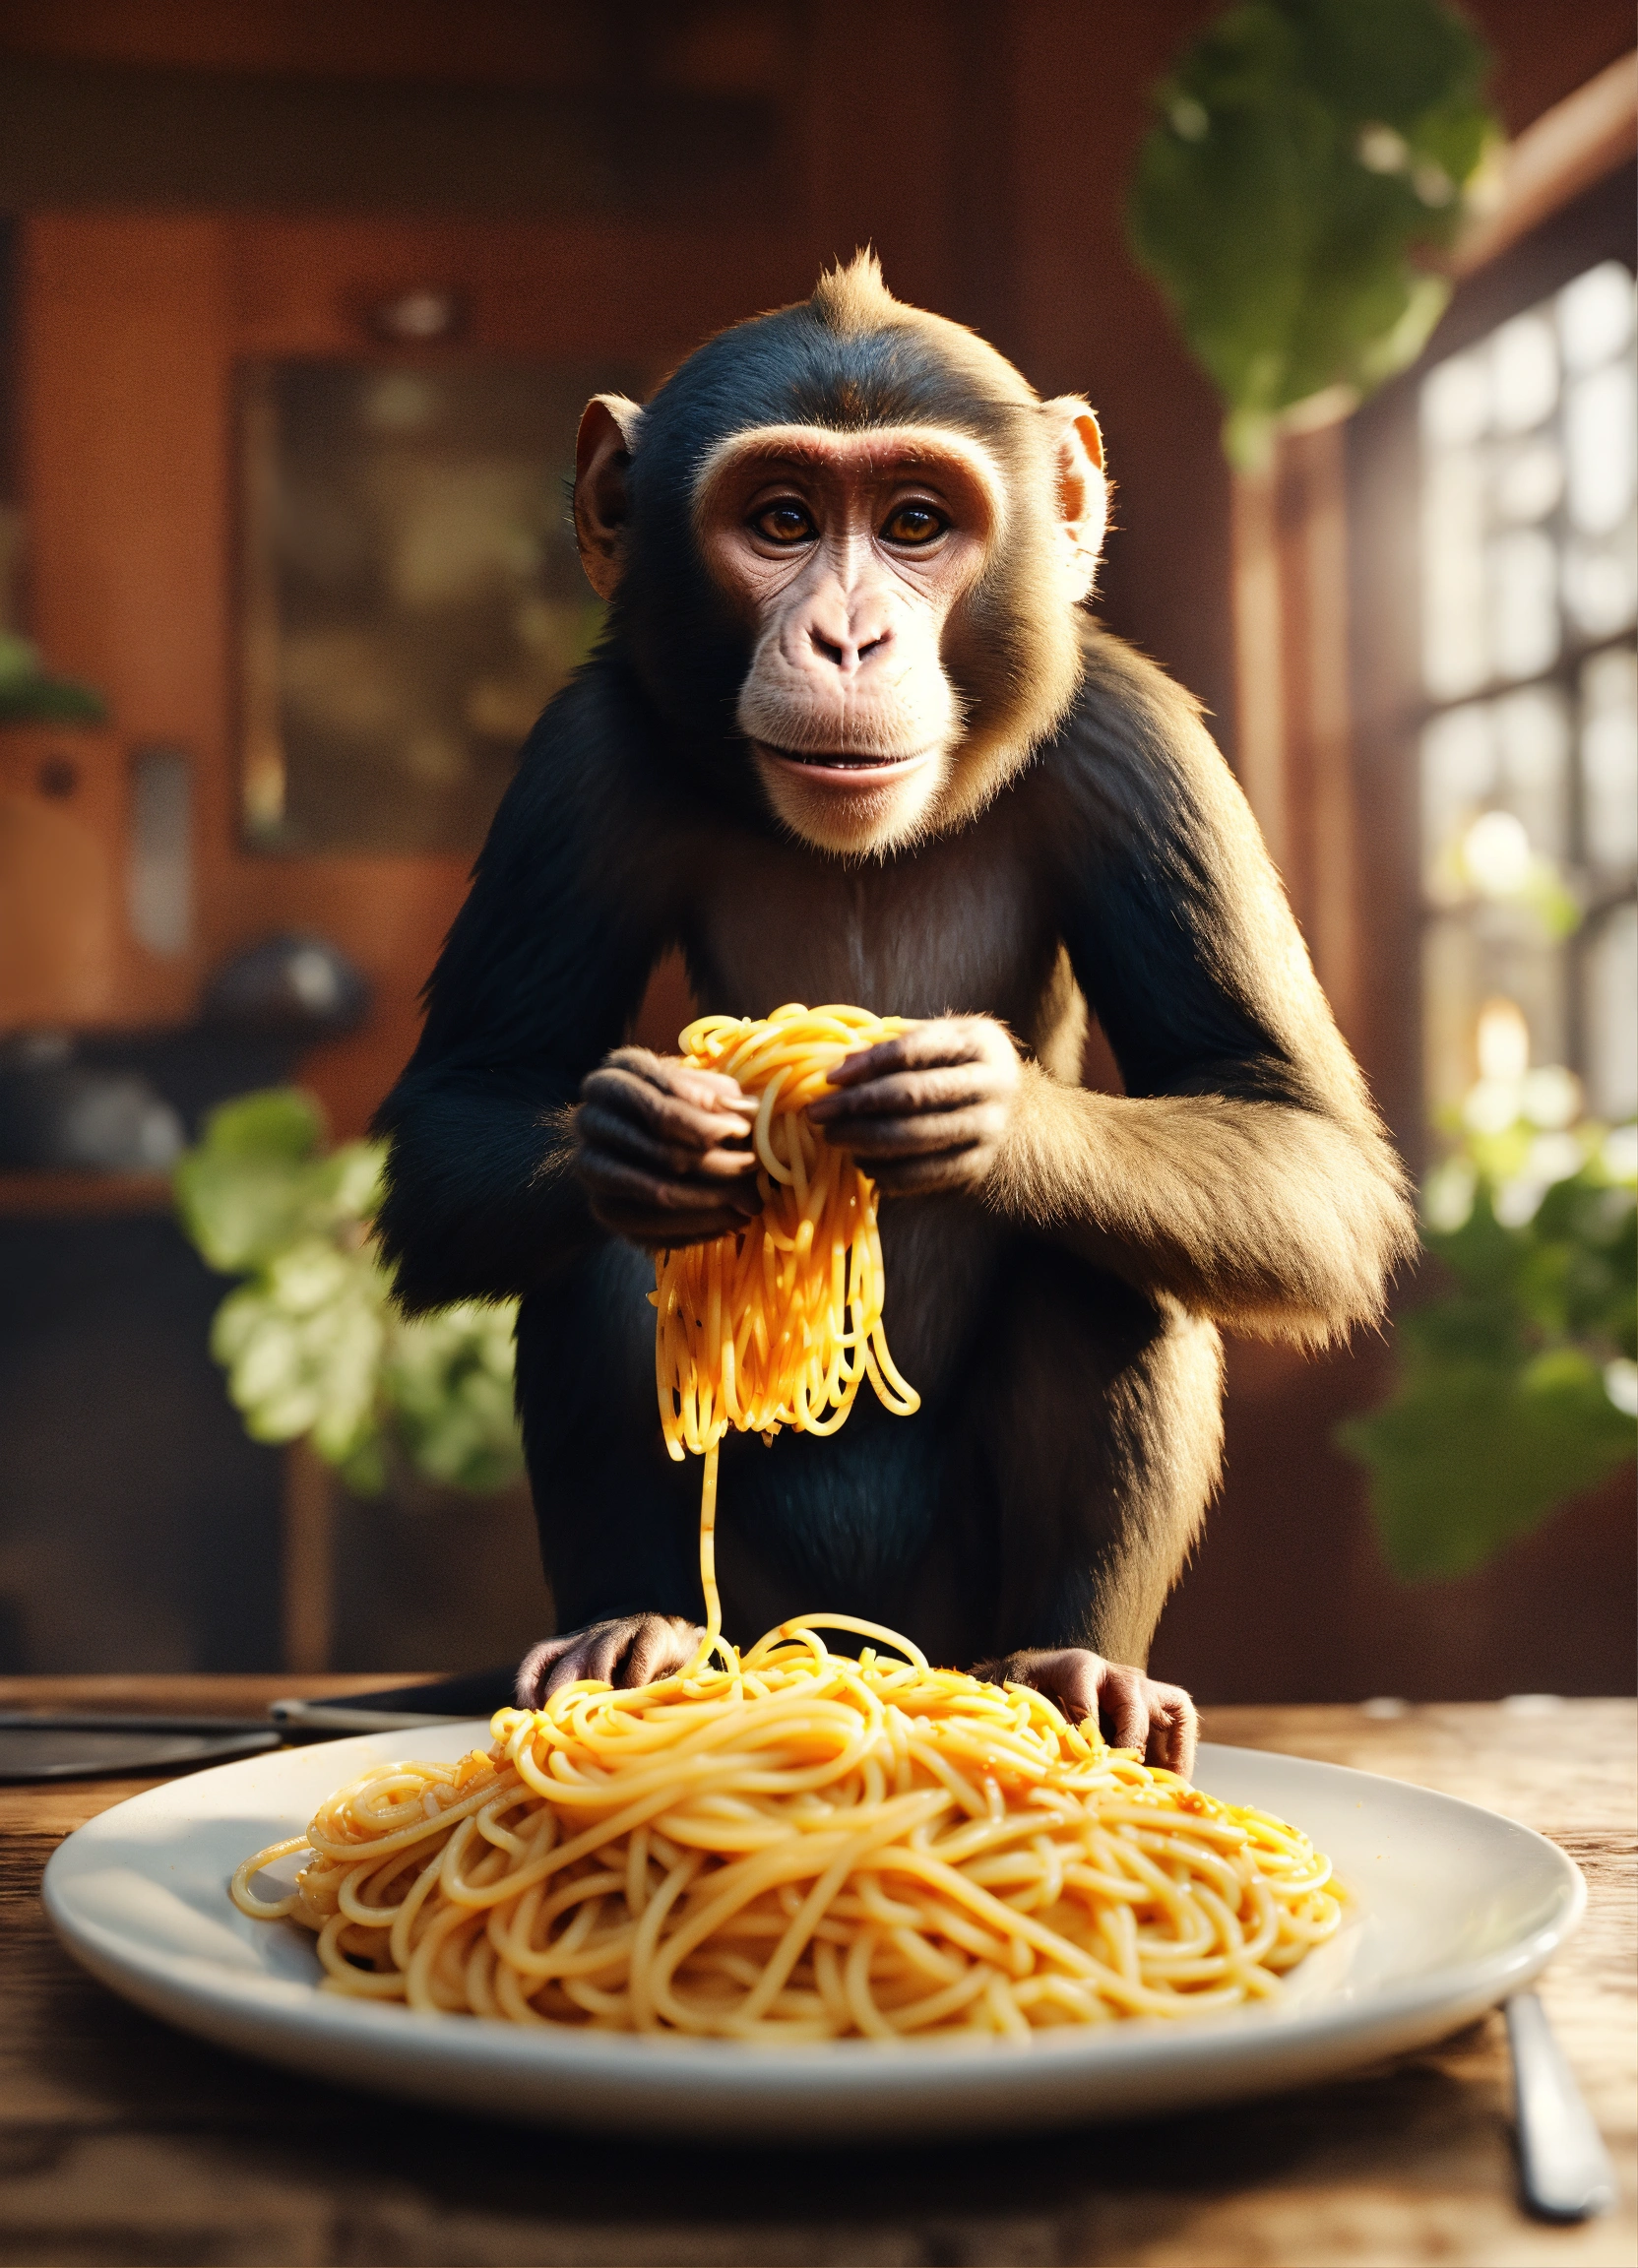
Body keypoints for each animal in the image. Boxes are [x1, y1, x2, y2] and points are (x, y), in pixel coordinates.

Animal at [374, 254, 1414, 1774]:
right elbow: (473, 1100)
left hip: (942, 1599)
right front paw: (640, 1128)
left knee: (1117, 1248)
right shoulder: (579, 760)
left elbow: (1290, 1124)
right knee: (598, 1249)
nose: (849, 633)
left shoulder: (1137, 744)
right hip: (766, 1593)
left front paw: (979, 1108)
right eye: (782, 522)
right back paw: (633, 1633)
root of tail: (861, 1647)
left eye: (917, 523)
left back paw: (1075, 1666)